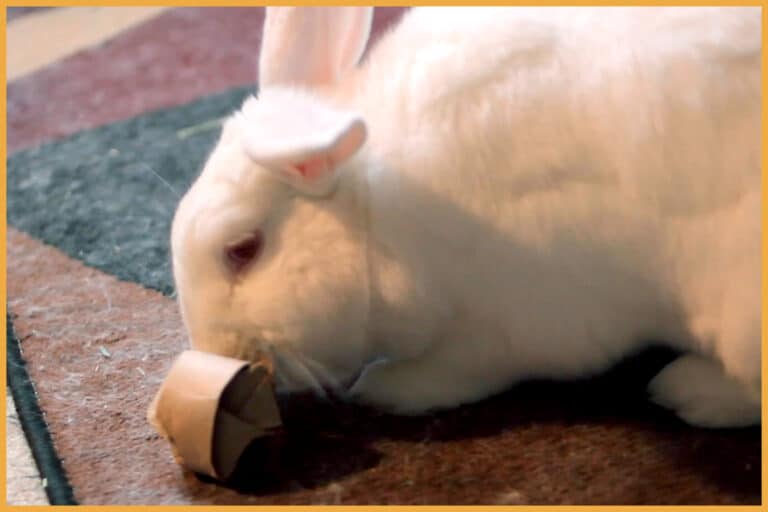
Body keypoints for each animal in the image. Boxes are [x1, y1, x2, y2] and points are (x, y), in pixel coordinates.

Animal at [170, 7, 761, 428]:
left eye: (242, 250)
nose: (216, 355)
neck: (376, 214)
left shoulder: (513, 323)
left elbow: (456, 372)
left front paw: (384, 387)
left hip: (737, 313)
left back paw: (686, 390)